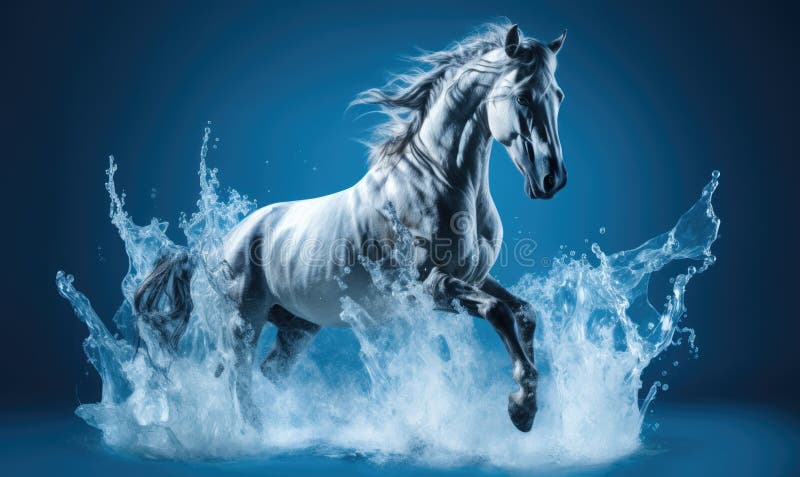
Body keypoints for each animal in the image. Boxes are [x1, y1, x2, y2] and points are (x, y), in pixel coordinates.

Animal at [133, 22, 568, 433]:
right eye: (523, 97)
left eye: (559, 96)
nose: (552, 179)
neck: (438, 182)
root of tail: (217, 247)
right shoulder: (428, 287)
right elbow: (498, 311)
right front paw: (520, 407)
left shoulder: (475, 278)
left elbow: (525, 312)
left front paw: (526, 406)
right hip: (242, 321)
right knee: (237, 380)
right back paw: (256, 434)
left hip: (299, 326)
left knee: (271, 371)